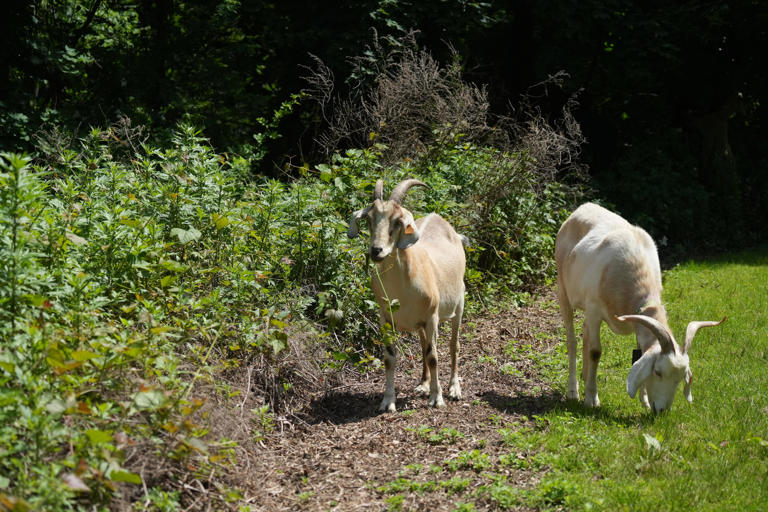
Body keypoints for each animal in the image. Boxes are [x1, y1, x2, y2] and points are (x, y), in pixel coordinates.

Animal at [348, 179, 466, 411]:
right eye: (369, 219)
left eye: (397, 221)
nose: (376, 250)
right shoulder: (386, 320)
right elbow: (390, 359)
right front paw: (387, 401)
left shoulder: (432, 317)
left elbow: (433, 356)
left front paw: (437, 398)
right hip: (419, 324)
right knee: (422, 345)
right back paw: (423, 384)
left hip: (458, 305)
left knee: (453, 345)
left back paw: (455, 389)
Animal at [554, 202, 724, 412]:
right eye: (658, 372)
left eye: (680, 378)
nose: (661, 410)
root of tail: (582, 208)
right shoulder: (594, 309)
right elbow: (595, 352)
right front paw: (592, 399)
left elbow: (639, 353)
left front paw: (644, 401)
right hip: (563, 291)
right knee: (572, 341)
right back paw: (574, 391)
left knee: (585, 333)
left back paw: (585, 377)